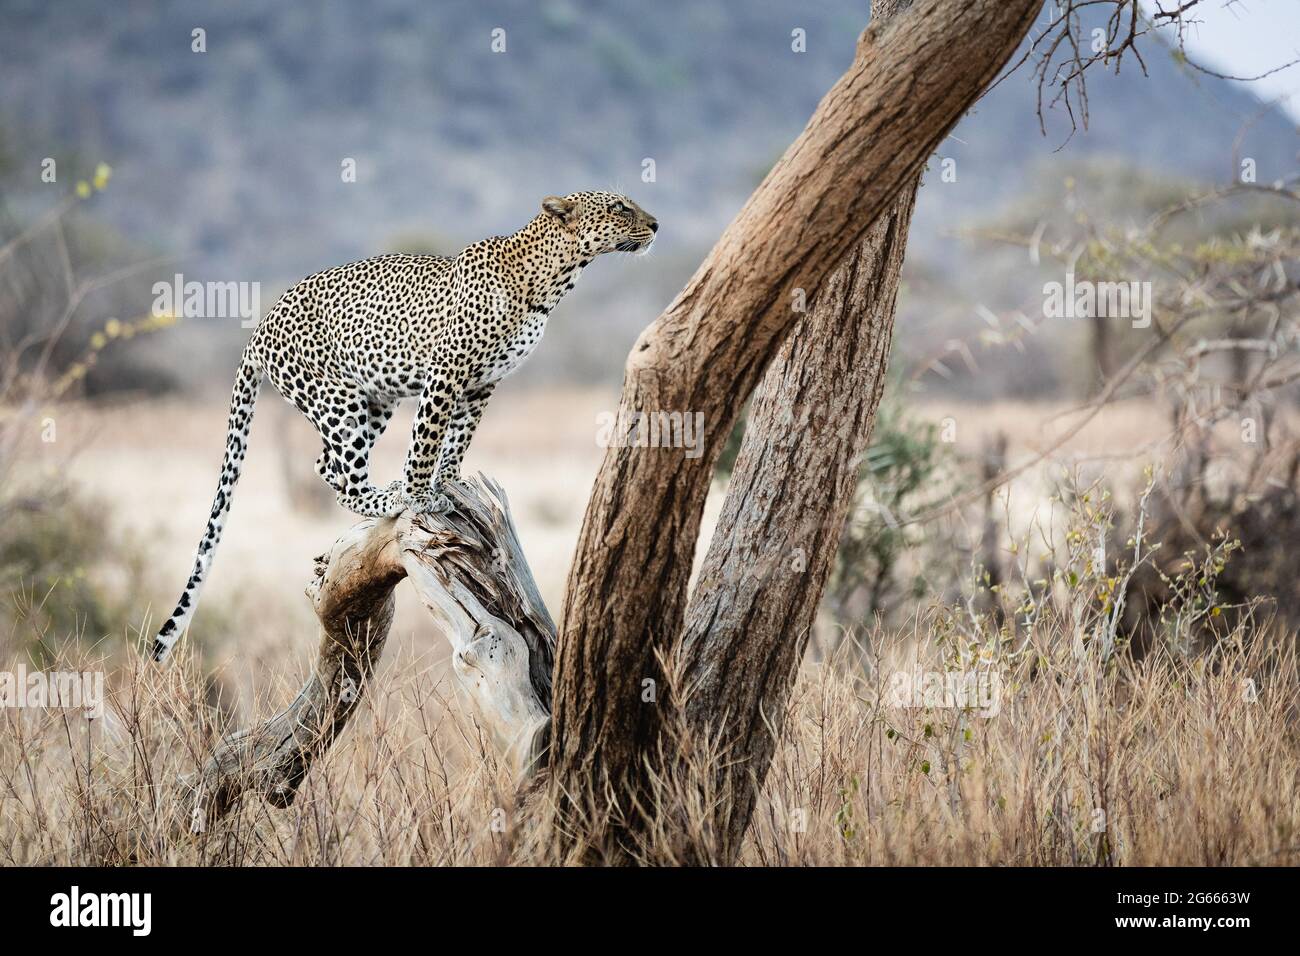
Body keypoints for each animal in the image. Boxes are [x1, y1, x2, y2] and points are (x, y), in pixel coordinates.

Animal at [151, 190, 657, 662]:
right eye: (619, 207)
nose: (655, 224)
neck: (551, 279)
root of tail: (260, 325)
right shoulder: (447, 371)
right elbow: (427, 441)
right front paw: (419, 496)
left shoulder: (481, 384)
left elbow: (458, 439)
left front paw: (450, 482)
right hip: (340, 400)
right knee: (343, 473)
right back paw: (389, 497)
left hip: (375, 399)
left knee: (325, 466)